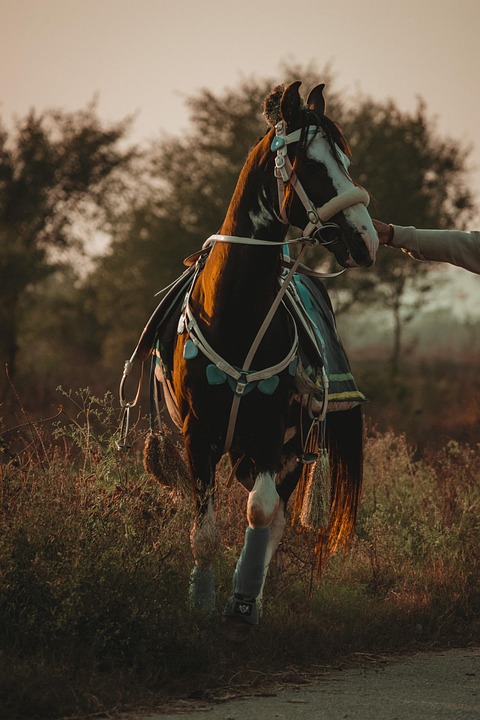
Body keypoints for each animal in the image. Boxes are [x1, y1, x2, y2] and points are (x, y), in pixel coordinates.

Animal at [125, 81, 379, 641]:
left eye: (347, 162)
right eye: (311, 165)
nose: (366, 240)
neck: (236, 315)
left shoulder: (266, 436)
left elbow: (260, 515)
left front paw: (241, 605)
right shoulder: (198, 434)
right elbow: (204, 529)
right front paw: (200, 603)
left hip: (288, 447)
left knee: (278, 514)